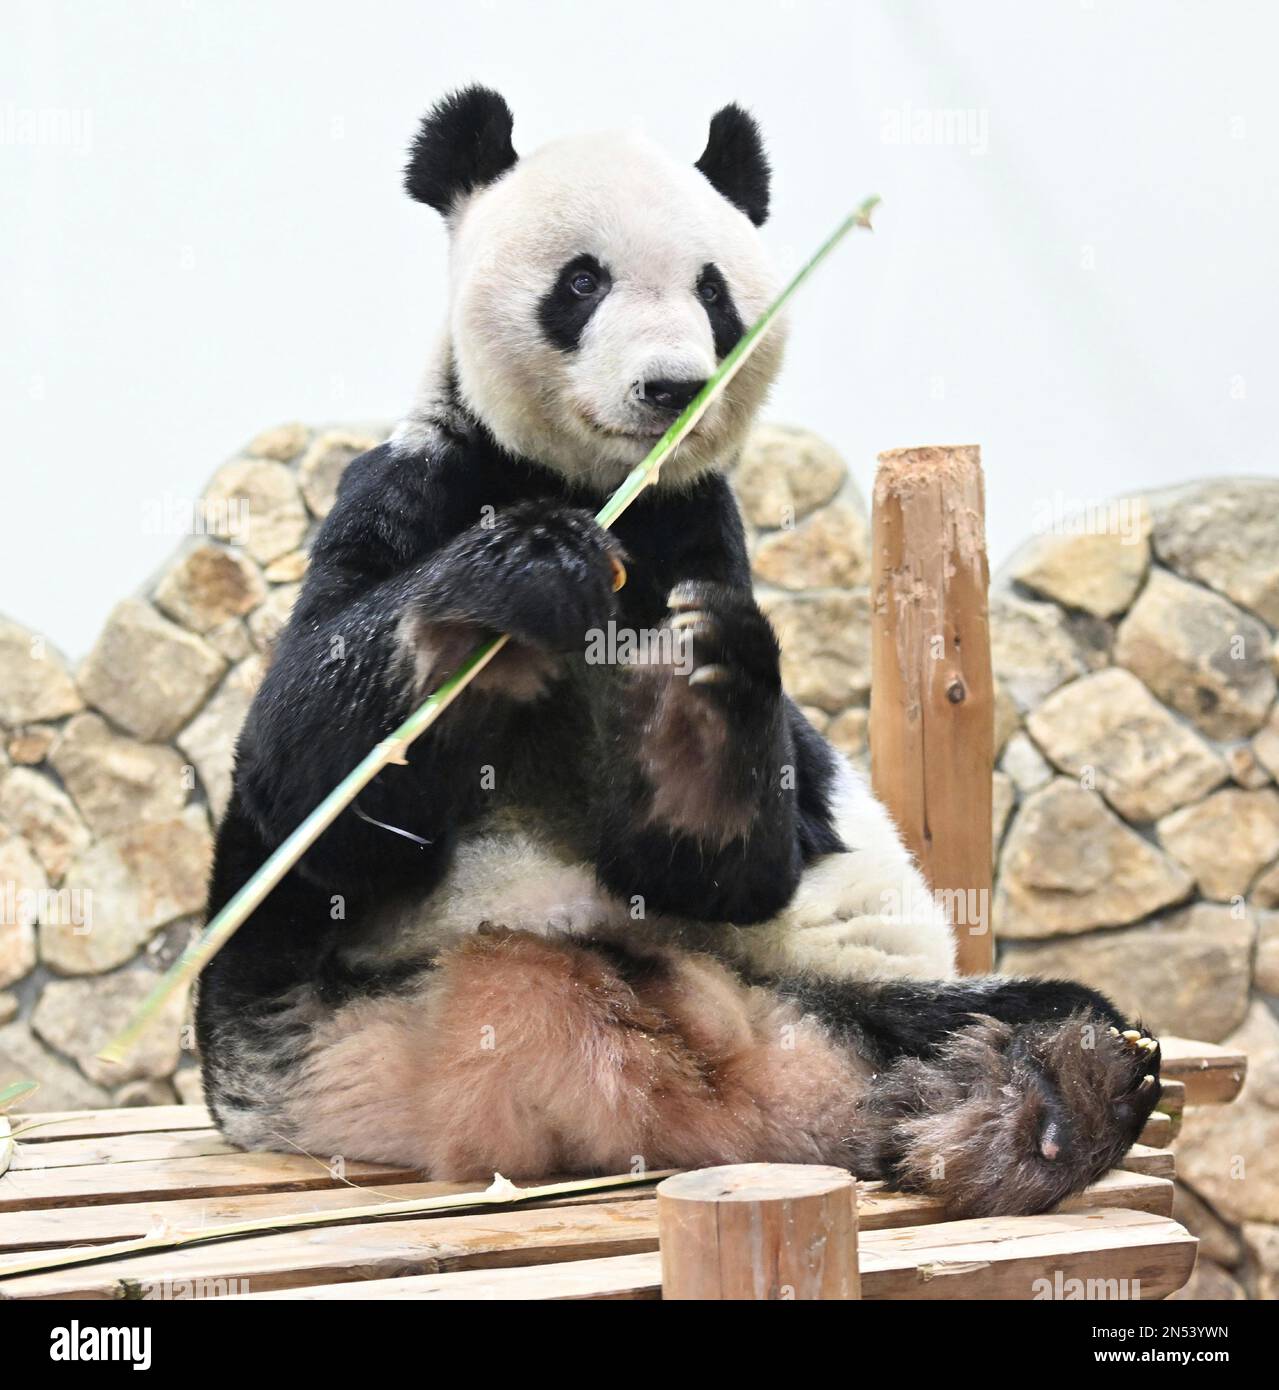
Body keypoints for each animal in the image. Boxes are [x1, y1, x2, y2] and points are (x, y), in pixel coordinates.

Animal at [196, 86, 1161, 1219]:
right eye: (581, 282)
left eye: (714, 294)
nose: (671, 388)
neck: (592, 487)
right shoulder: (417, 479)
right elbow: (306, 776)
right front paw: (510, 580)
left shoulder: (702, 533)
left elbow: (728, 864)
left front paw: (693, 704)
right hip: (278, 1014)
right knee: (270, 872)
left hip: (844, 991)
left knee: (1041, 1016)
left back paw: (1036, 1101)